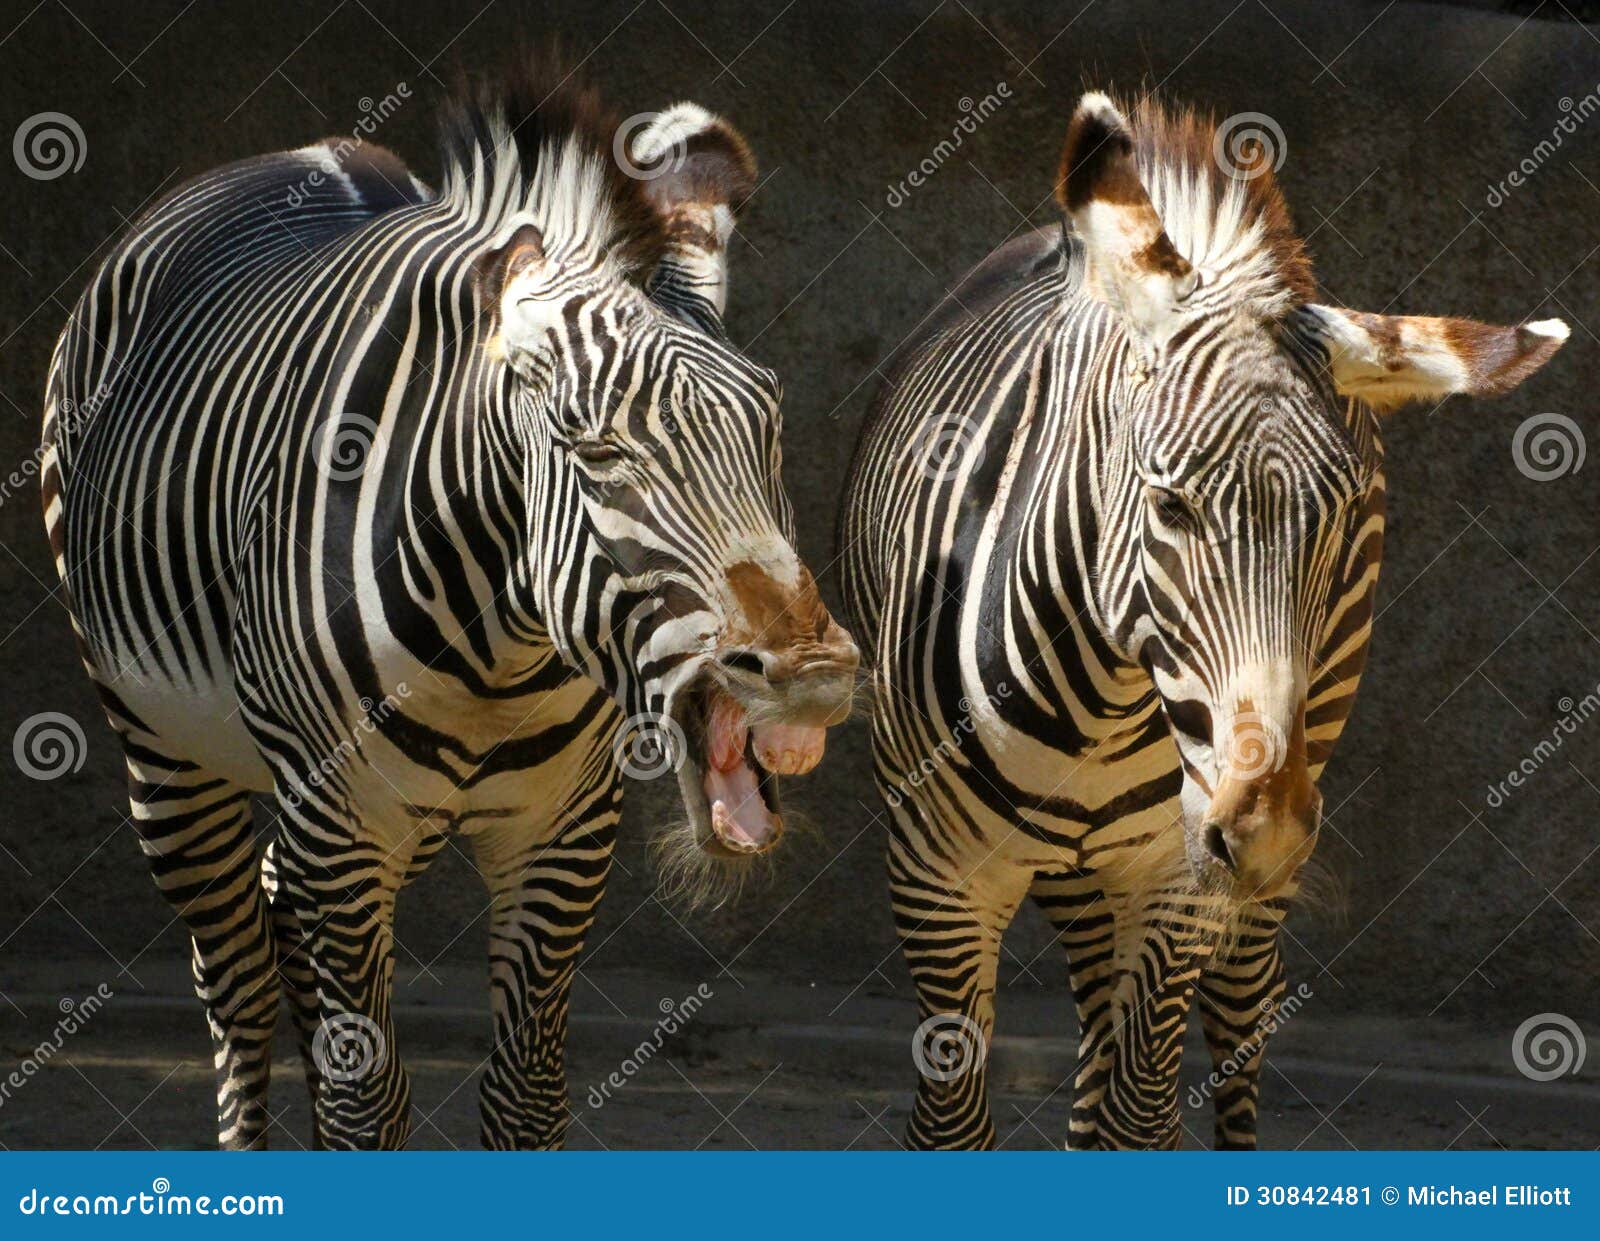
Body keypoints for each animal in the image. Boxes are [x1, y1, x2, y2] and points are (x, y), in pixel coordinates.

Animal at [41, 59, 857, 1150]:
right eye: (600, 454)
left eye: (768, 430)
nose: (812, 677)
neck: (497, 657)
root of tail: (294, 154)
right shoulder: (340, 825)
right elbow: (366, 1103)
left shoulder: (562, 828)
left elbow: (523, 1093)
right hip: (166, 753)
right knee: (237, 981)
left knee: (277, 922)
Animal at [840, 92, 1567, 1150]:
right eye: (1170, 506)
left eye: (1341, 518)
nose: (1258, 830)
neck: (1097, 709)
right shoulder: (938, 877)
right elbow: (954, 1124)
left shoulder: (1177, 882)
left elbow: (1143, 1118)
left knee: (1234, 1013)